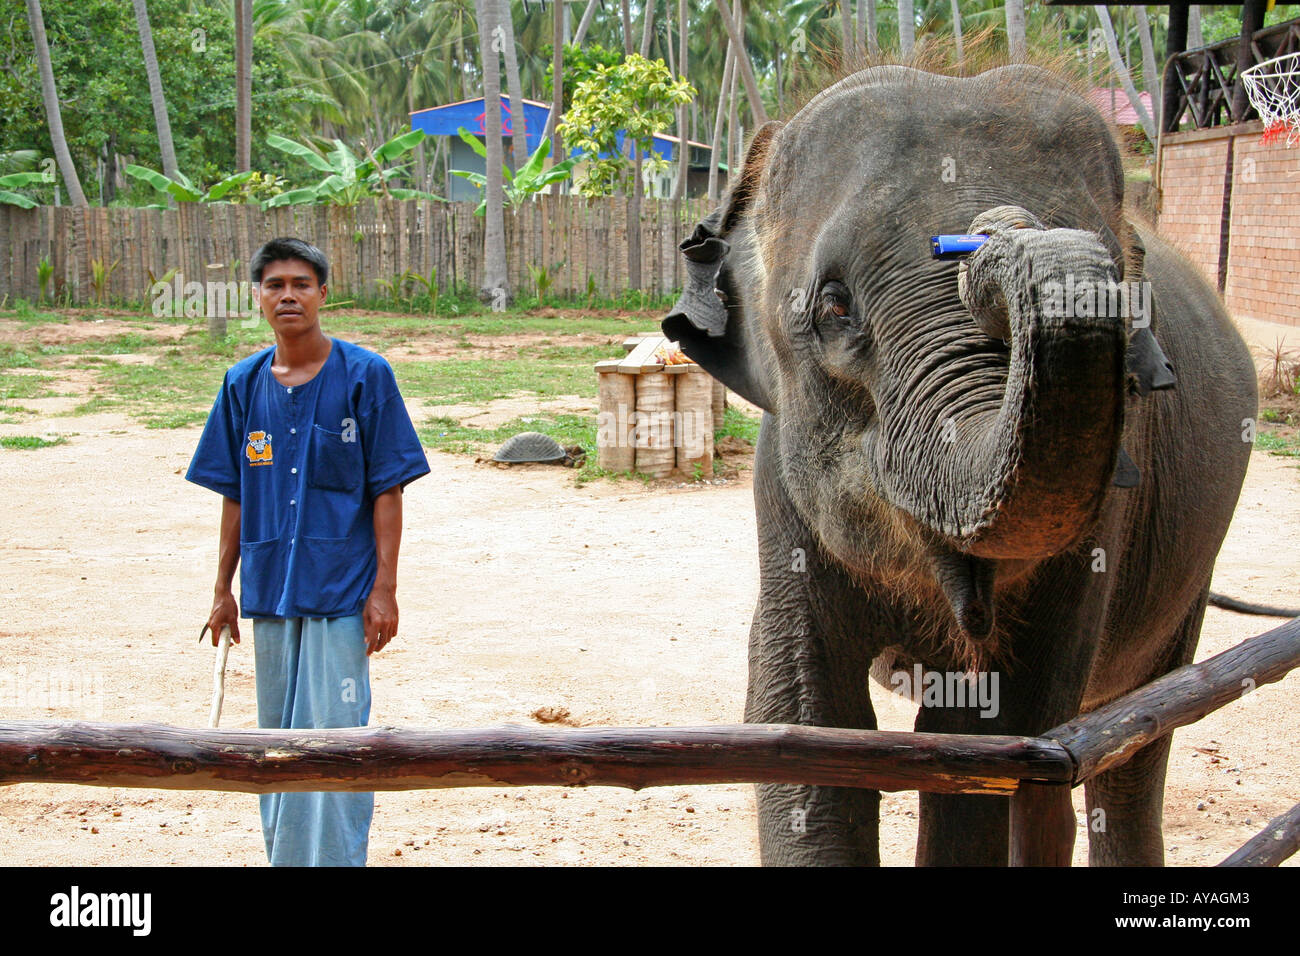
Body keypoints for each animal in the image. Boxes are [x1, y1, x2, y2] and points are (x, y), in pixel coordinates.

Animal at [662, 64, 1259, 866]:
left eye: (1128, 304)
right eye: (834, 307)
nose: (995, 233)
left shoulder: (1109, 499)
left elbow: (990, 738)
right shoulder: (778, 489)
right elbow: (806, 715)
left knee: (1130, 742)